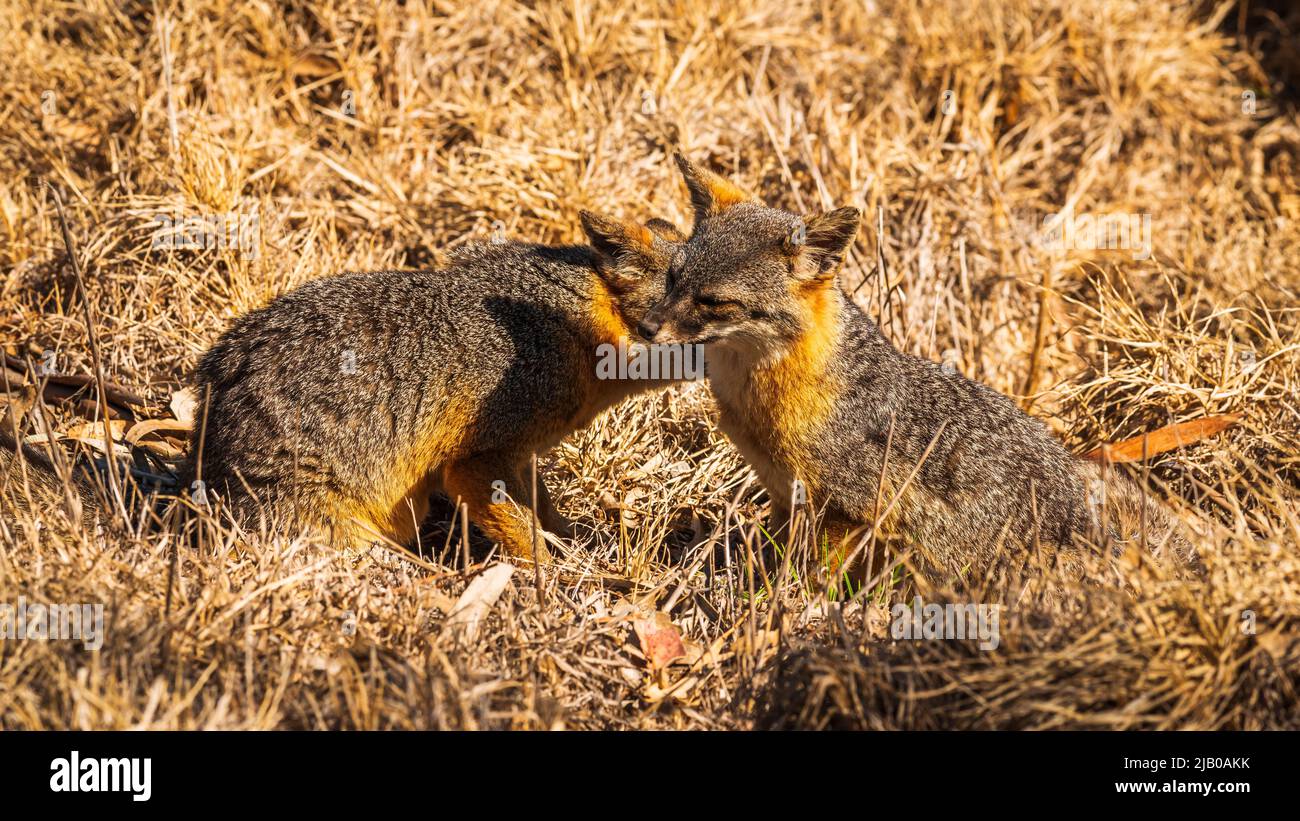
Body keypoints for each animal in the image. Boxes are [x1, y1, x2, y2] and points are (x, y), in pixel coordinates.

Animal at [185, 212, 687, 560]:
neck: (578, 320)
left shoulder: (519, 453)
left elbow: (542, 508)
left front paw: (574, 540)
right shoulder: (478, 460)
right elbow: (525, 533)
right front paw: (557, 582)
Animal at [637, 154, 1188, 580]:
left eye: (714, 303)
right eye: (673, 279)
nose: (644, 328)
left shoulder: (845, 510)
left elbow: (815, 581)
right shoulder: (783, 496)